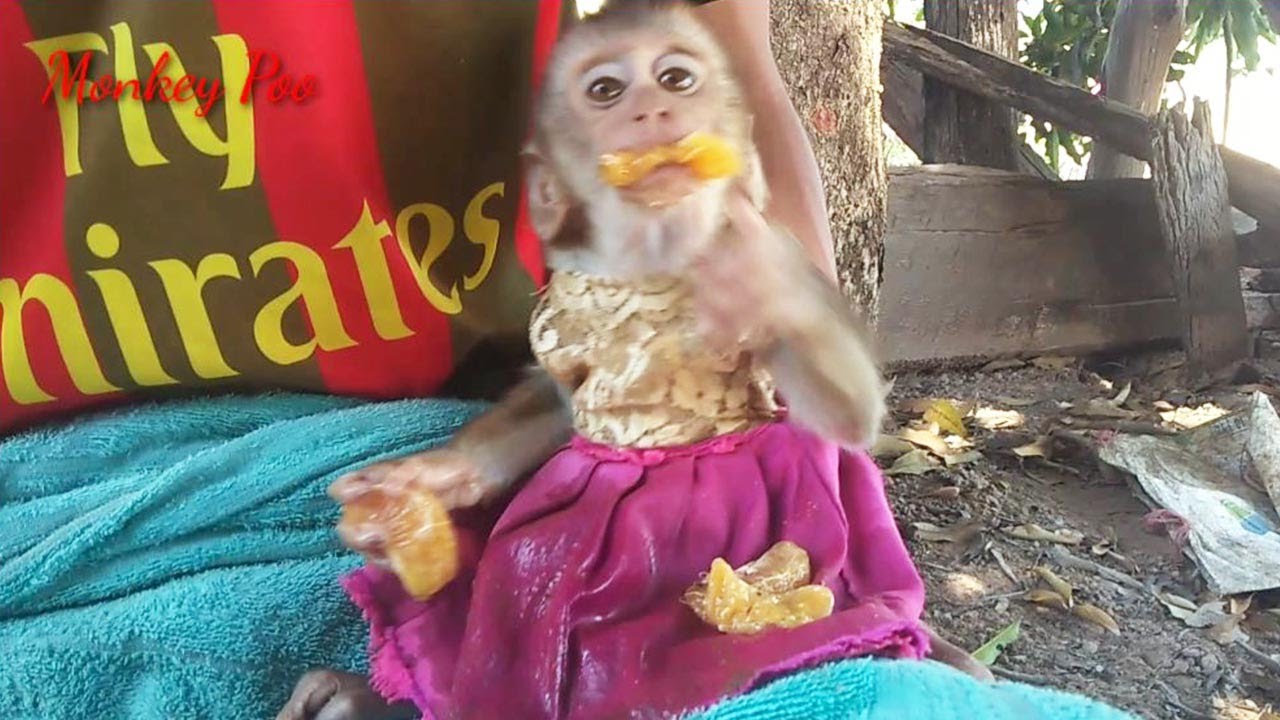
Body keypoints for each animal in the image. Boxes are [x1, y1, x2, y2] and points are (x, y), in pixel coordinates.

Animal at [280, 4, 987, 719]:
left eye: (675, 78)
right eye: (606, 91)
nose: (653, 110)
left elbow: (840, 418)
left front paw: (761, 287)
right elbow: (560, 401)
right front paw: (437, 477)